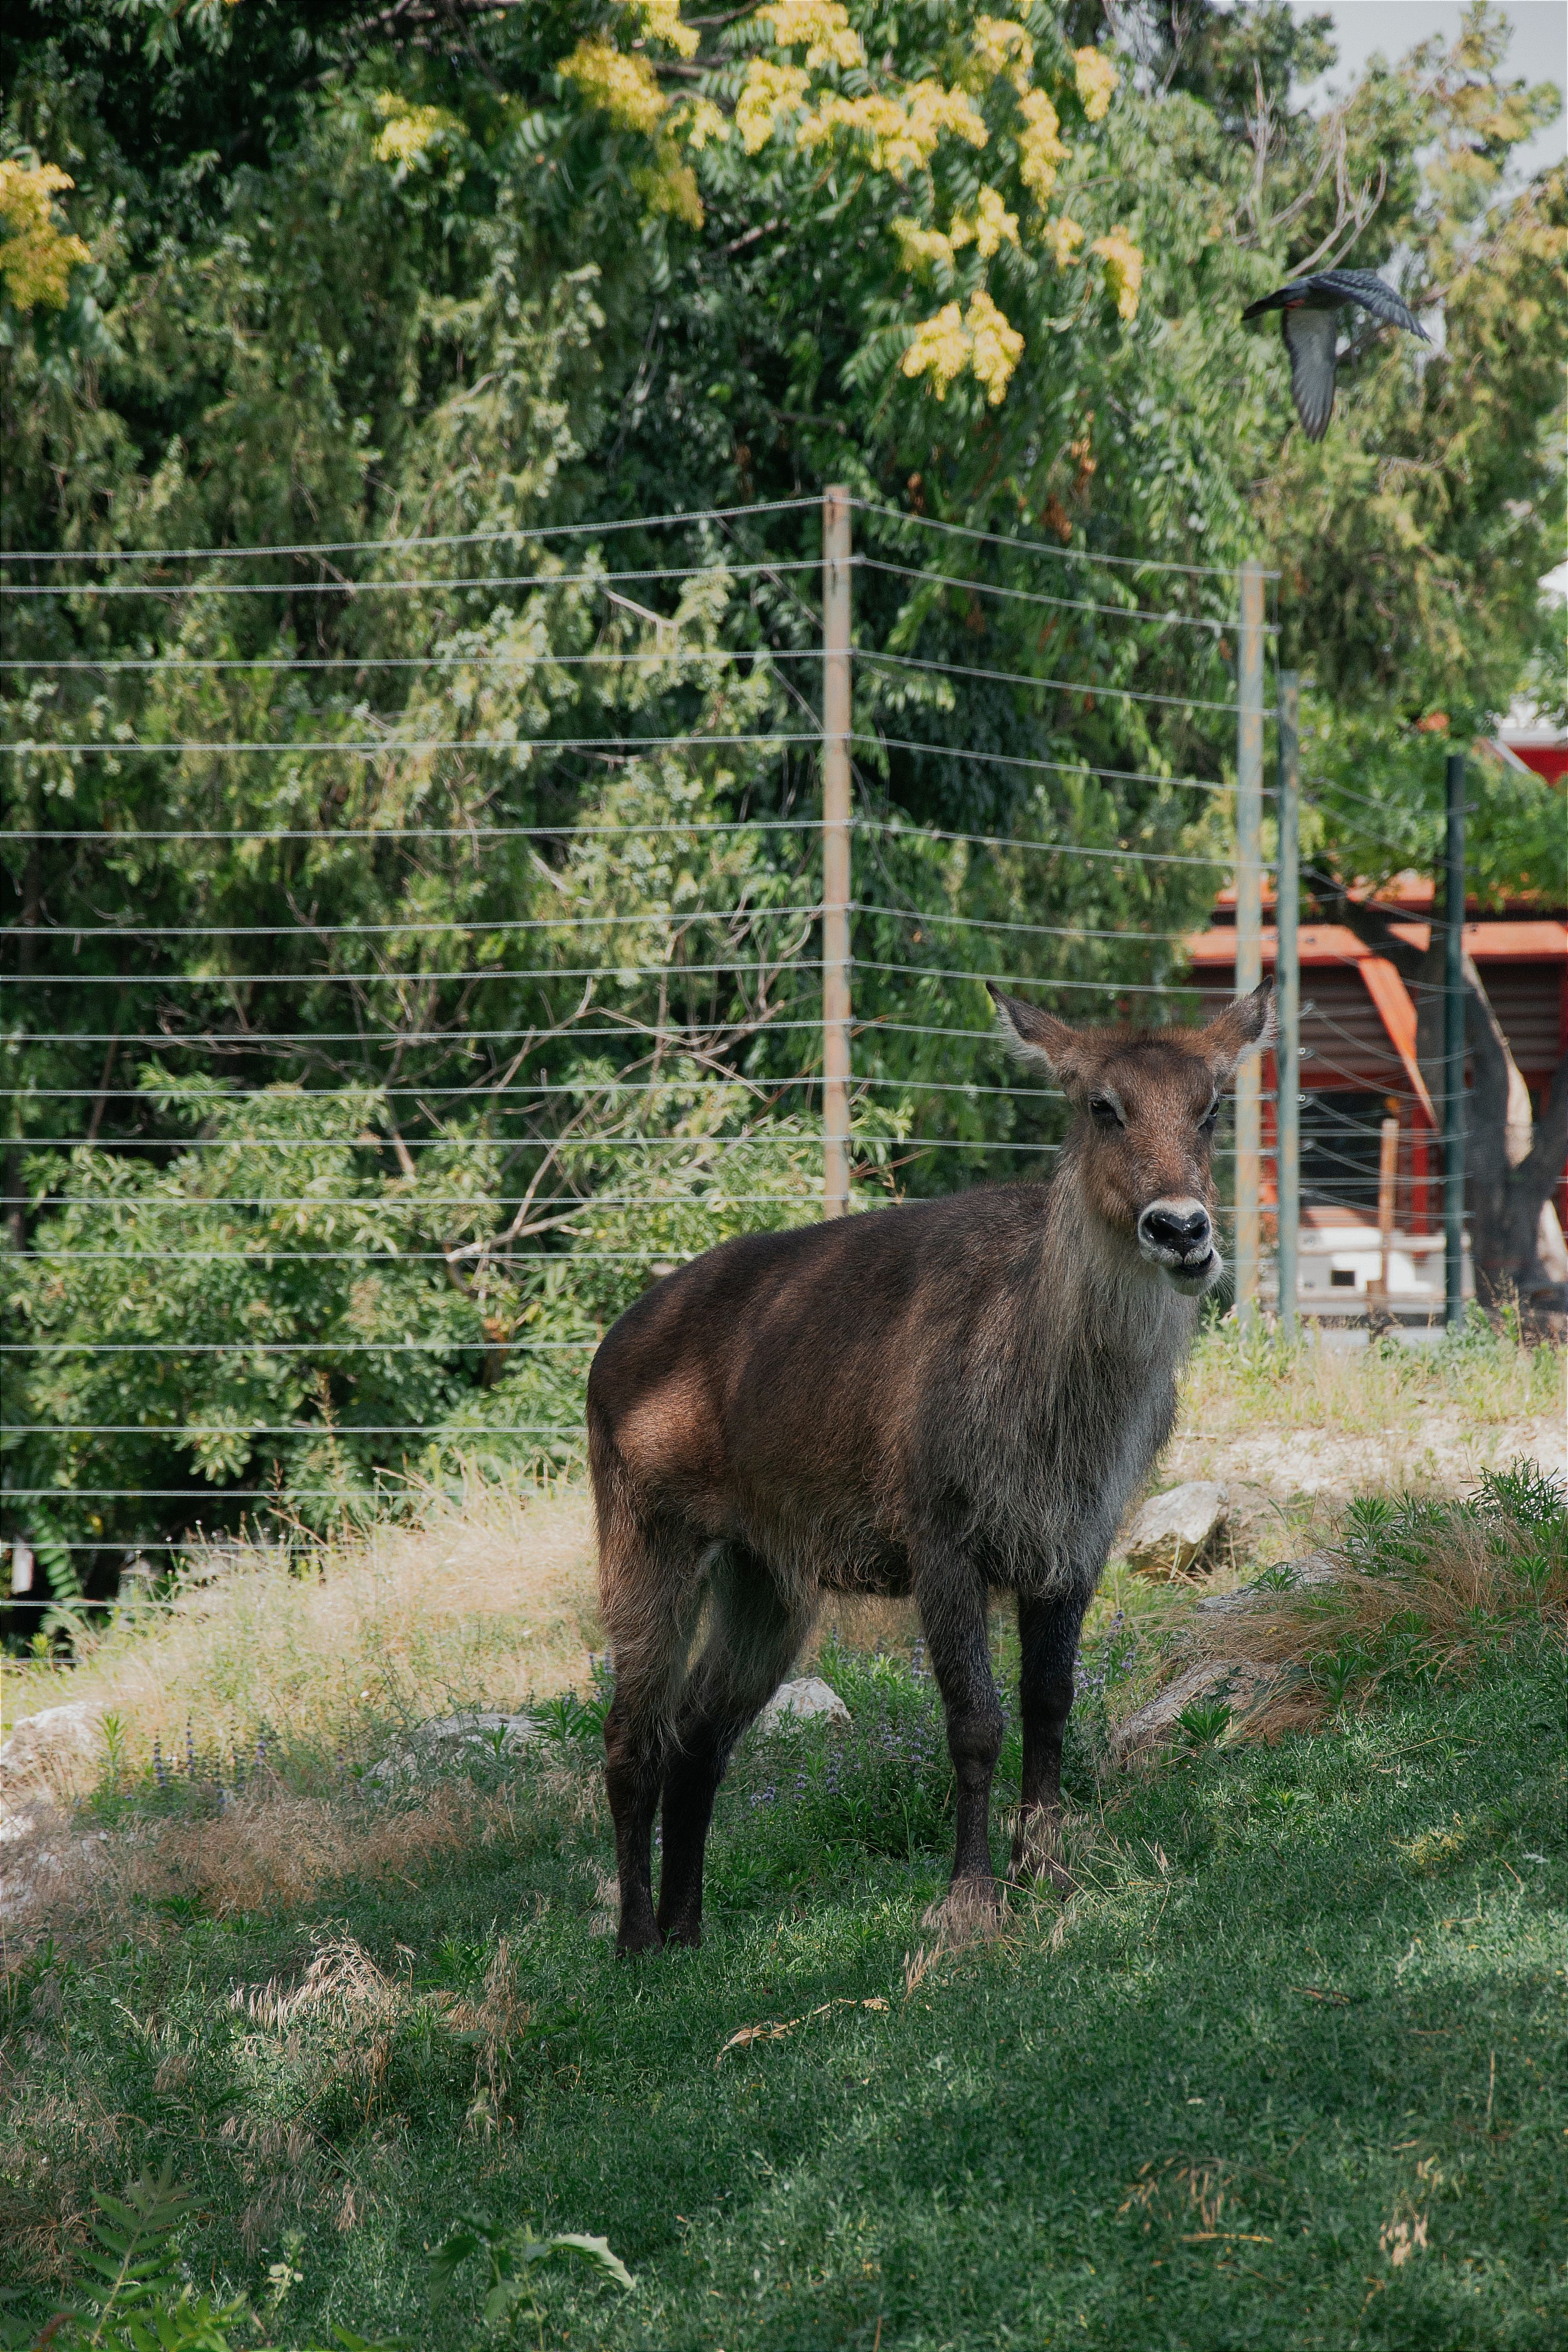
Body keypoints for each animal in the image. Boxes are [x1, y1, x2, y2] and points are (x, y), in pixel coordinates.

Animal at [588, 980, 1274, 1952]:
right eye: (1101, 1105)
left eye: (1211, 1106)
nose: (1181, 1229)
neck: (1059, 1405)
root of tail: (605, 1352)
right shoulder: (943, 1541)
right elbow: (975, 1721)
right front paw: (969, 1901)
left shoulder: (1074, 1544)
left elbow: (1050, 1703)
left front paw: (1049, 1874)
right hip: (648, 1540)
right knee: (628, 1737)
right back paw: (635, 1942)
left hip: (769, 1580)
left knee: (696, 1736)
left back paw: (689, 1932)